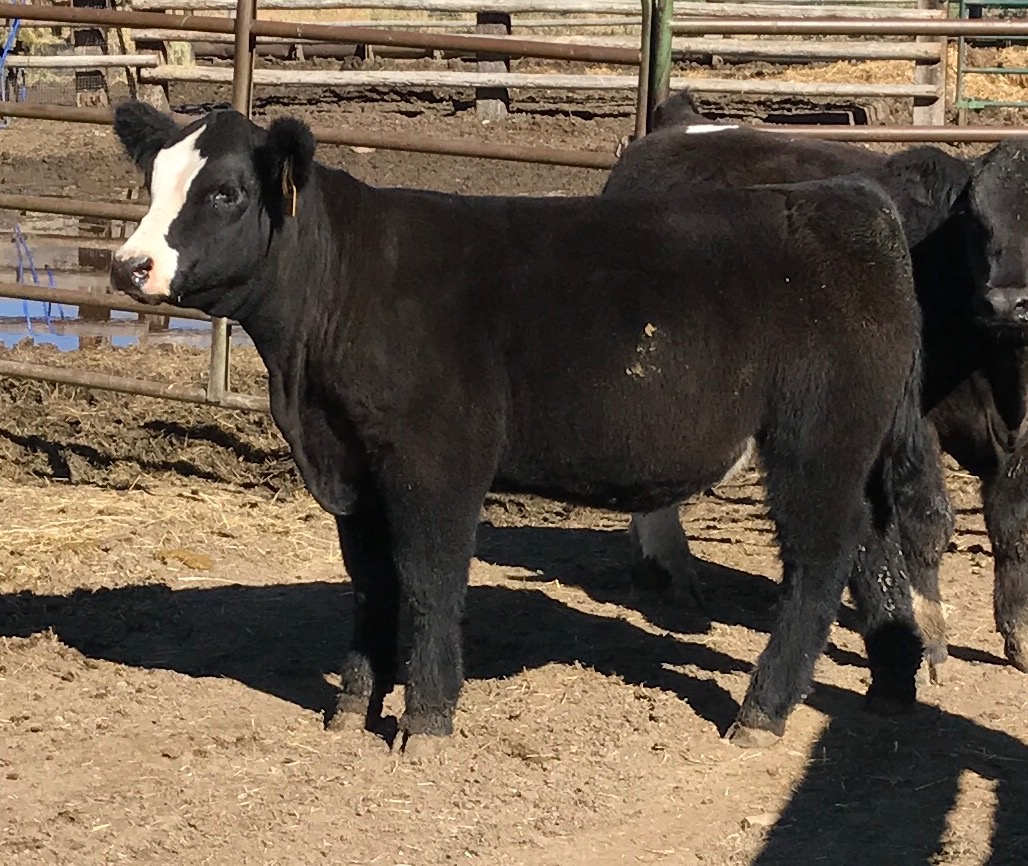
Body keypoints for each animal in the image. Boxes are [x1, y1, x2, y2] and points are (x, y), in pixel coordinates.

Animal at [109, 100, 930, 753]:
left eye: (225, 192)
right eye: (152, 183)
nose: (128, 266)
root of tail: (851, 200)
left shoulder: (435, 461)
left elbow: (429, 581)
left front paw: (426, 721)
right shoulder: (351, 466)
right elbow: (370, 583)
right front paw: (352, 707)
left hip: (816, 441)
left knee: (821, 560)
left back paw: (762, 712)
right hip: (853, 447)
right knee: (873, 543)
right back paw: (892, 682)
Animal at [609, 89, 1028, 679]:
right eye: (978, 222)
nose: (1007, 302)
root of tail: (680, 125)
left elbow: (1012, 525)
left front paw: (1018, 635)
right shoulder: (913, 418)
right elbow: (928, 520)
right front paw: (931, 635)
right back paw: (673, 568)